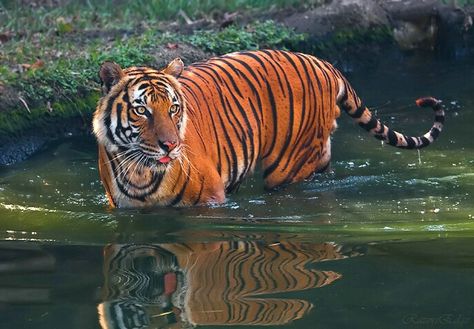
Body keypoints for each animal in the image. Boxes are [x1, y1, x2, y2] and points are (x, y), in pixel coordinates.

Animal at [93, 49, 444, 208]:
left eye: (174, 108)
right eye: (142, 110)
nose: (170, 146)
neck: (140, 172)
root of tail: (324, 63)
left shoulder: (211, 200)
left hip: (287, 166)